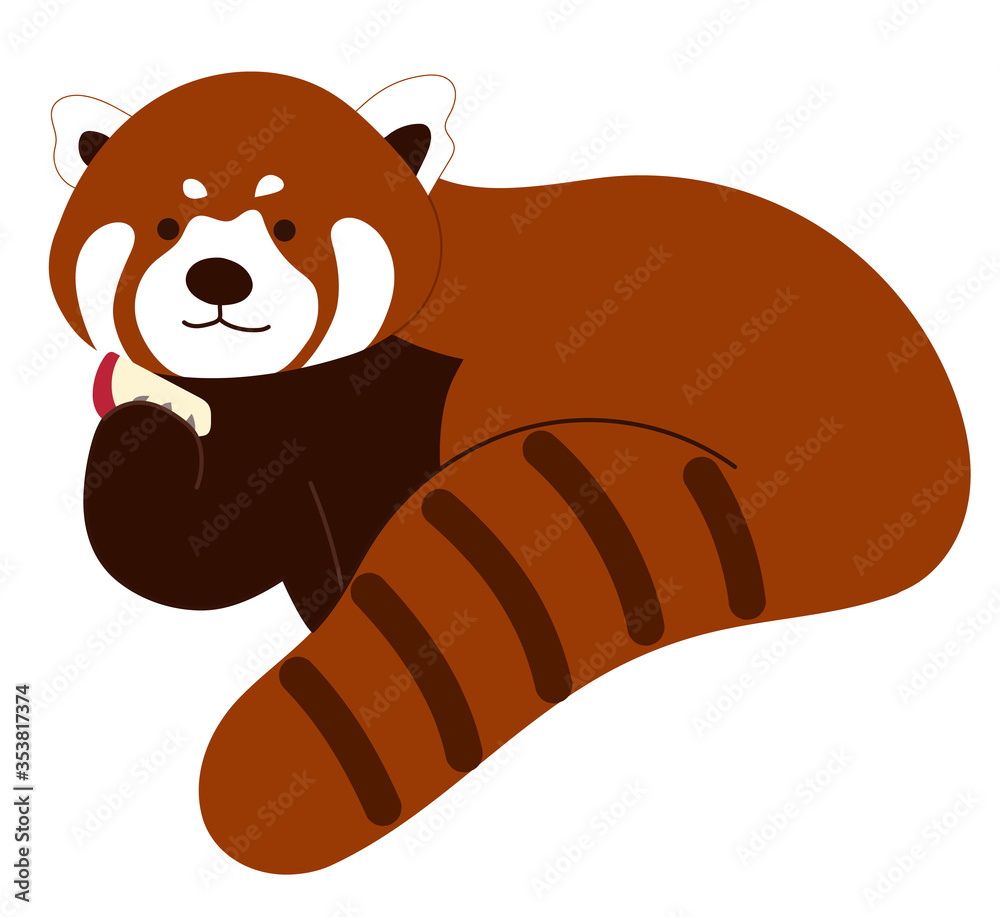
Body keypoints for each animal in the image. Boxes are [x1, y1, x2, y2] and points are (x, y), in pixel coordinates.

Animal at [50, 71, 969, 873]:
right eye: (165, 225)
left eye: (287, 227)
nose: (218, 280)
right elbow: (208, 543)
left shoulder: (383, 402)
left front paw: (147, 409)